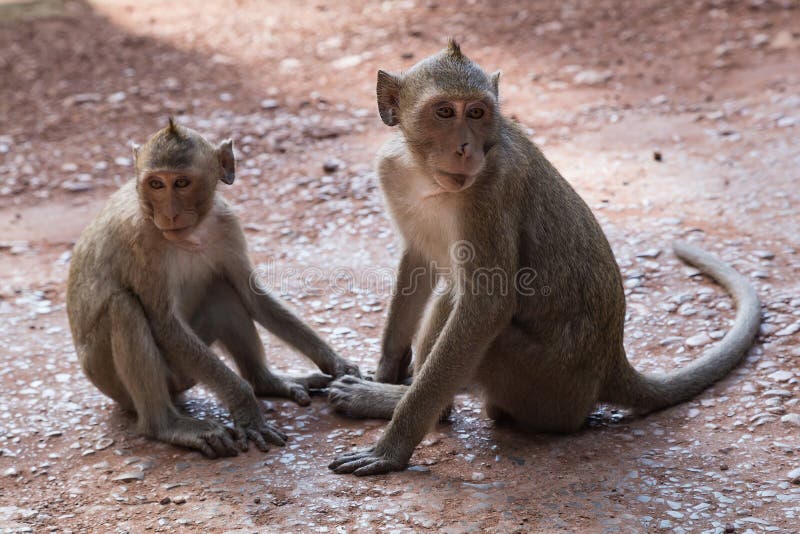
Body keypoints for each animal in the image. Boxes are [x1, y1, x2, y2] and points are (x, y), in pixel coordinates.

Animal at [67, 119, 360, 458]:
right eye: (156, 184)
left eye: (181, 183)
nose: (168, 214)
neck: (191, 234)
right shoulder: (139, 241)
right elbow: (164, 325)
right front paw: (245, 407)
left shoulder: (226, 223)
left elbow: (251, 296)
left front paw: (337, 364)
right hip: (127, 381)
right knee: (123, 308)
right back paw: (167, 425)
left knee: (222, 289)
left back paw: (266, 382)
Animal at [327, 41, 761, 476]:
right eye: (445, 112)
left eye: (477, 113)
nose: (465, 148)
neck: (425, 175)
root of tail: (611, 366)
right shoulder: (392, 172)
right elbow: (418, 262)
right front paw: (386, 370)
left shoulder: (491, 193)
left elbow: (487, 305)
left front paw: (392, 448)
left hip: (547, 383)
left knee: (463, 306)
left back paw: (411, 406)